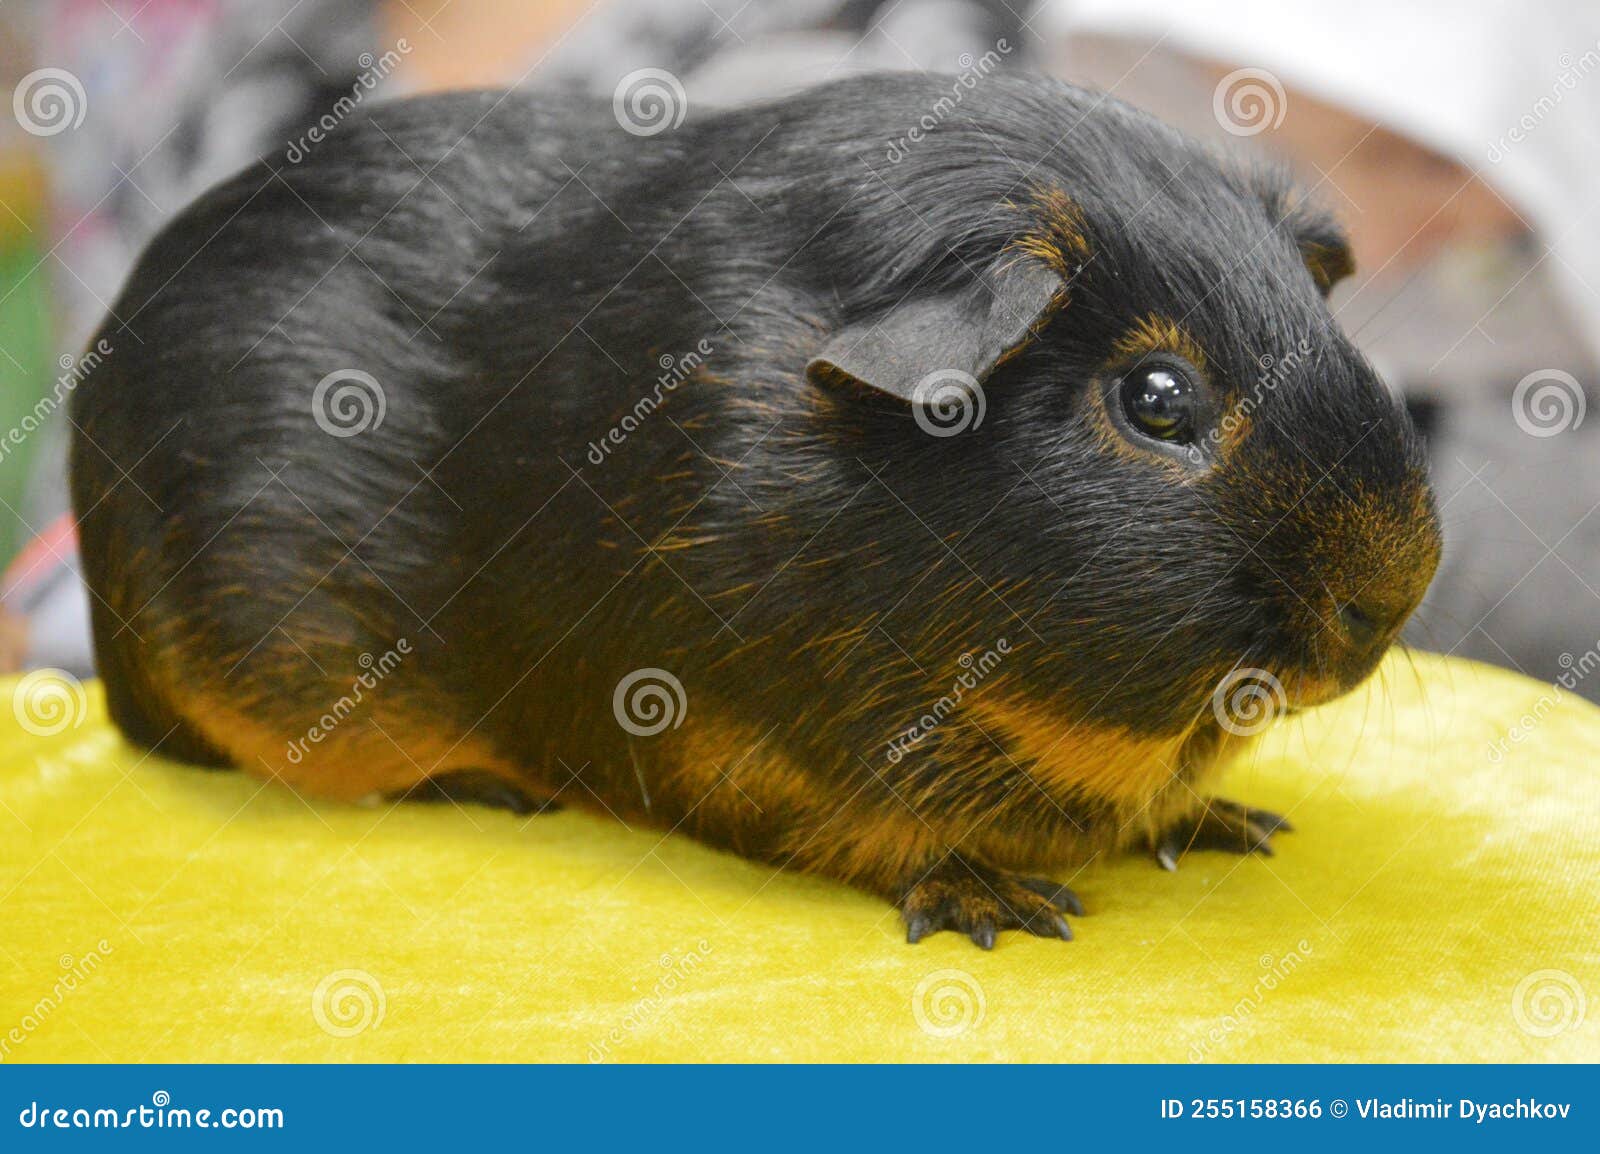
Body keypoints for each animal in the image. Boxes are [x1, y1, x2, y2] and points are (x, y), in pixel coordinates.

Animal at [70, 73, 1440, 948]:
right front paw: (1004, 907)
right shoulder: (732, 730)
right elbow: (876, 828)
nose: (1391, 590)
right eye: (1155, 398)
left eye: (1323, 327)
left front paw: (1232, 824)